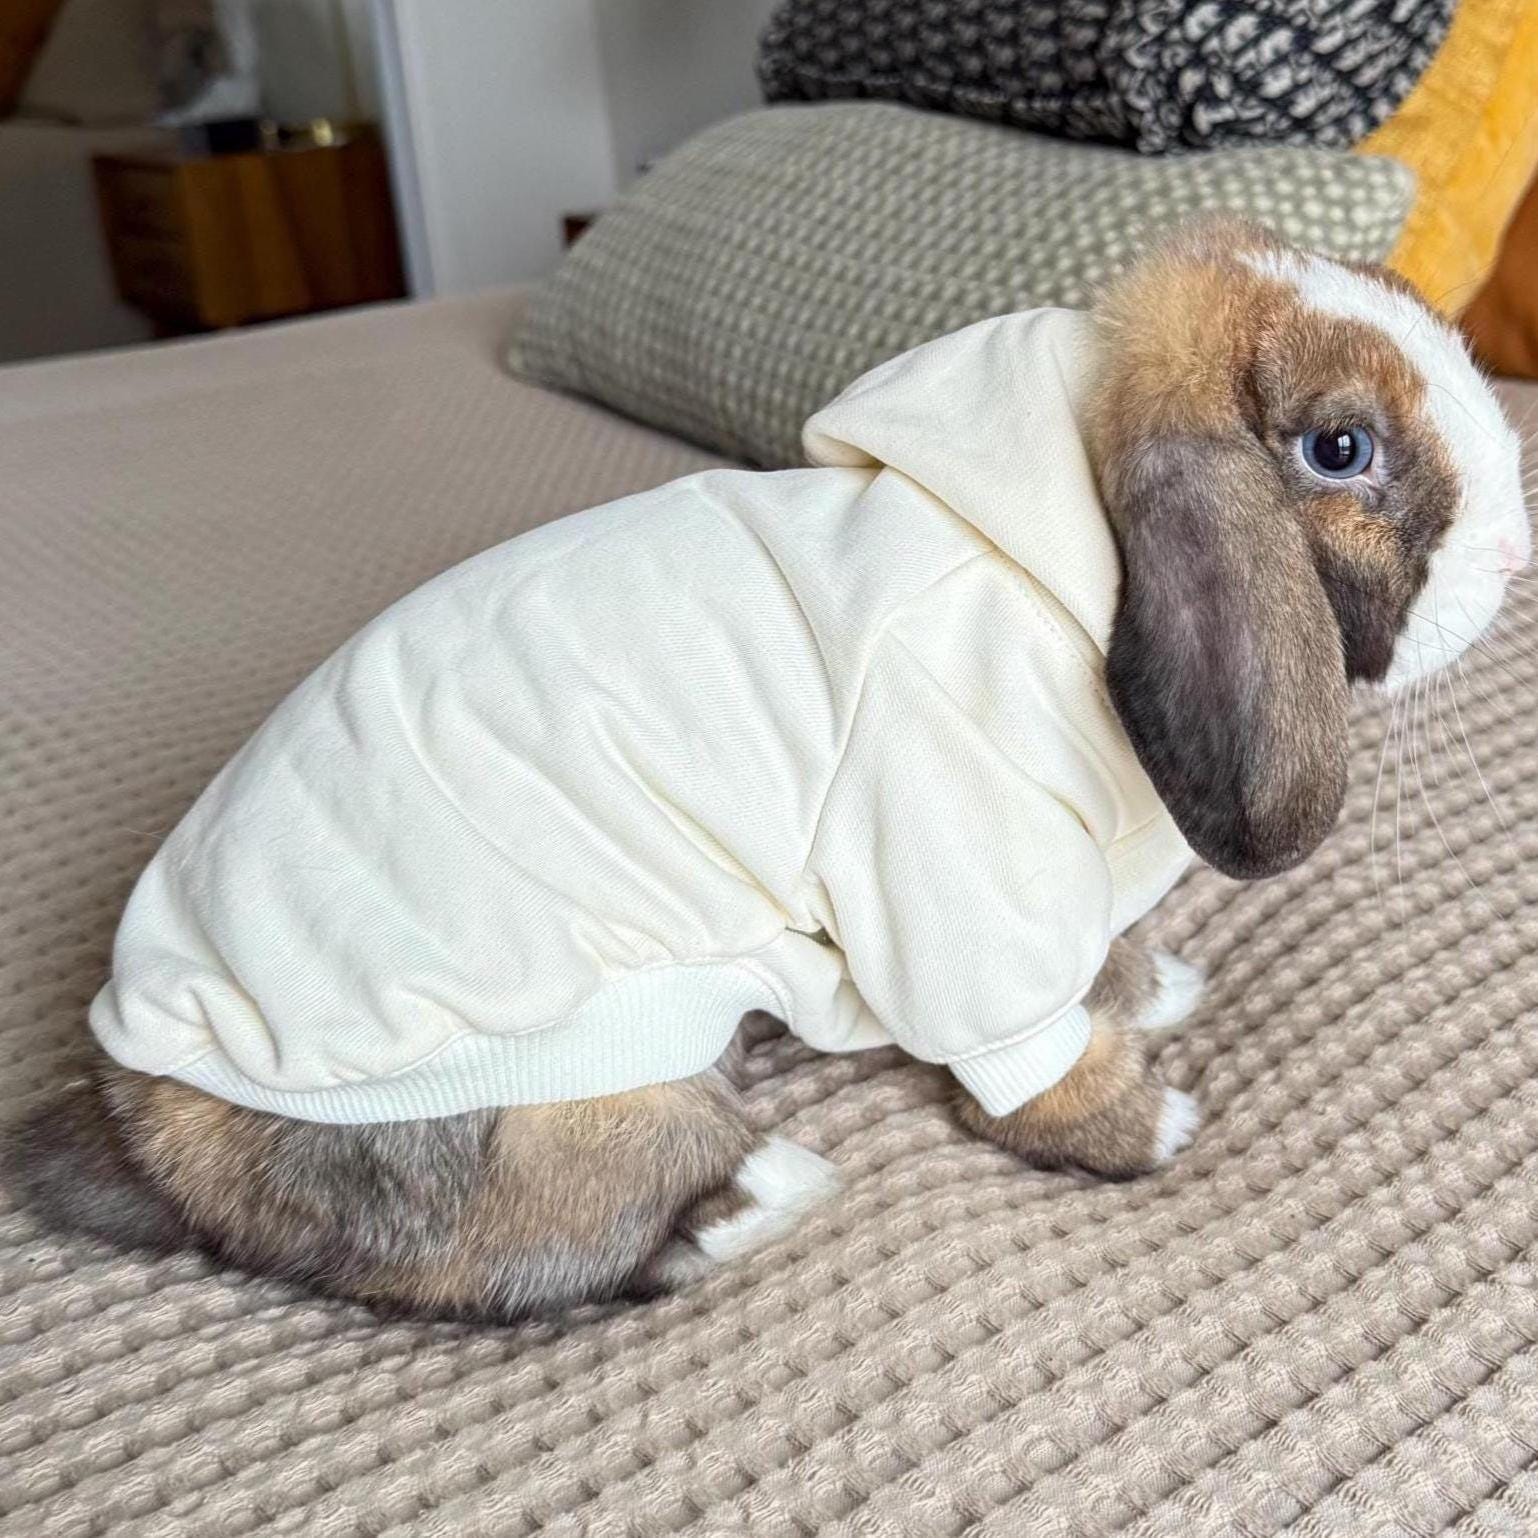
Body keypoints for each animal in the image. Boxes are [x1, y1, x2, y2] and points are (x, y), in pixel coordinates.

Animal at [6, 219, 1529, 1323]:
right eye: (1338, 447)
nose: (1516, 549)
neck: (1065, 561)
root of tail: (144, 1115)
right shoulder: (958, 881)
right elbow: (1029, 1057)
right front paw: (1144, 1125)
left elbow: (1095, 961)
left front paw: (1154, 987)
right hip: (593, 1078)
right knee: (539, 1252)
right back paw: (774, 1183)